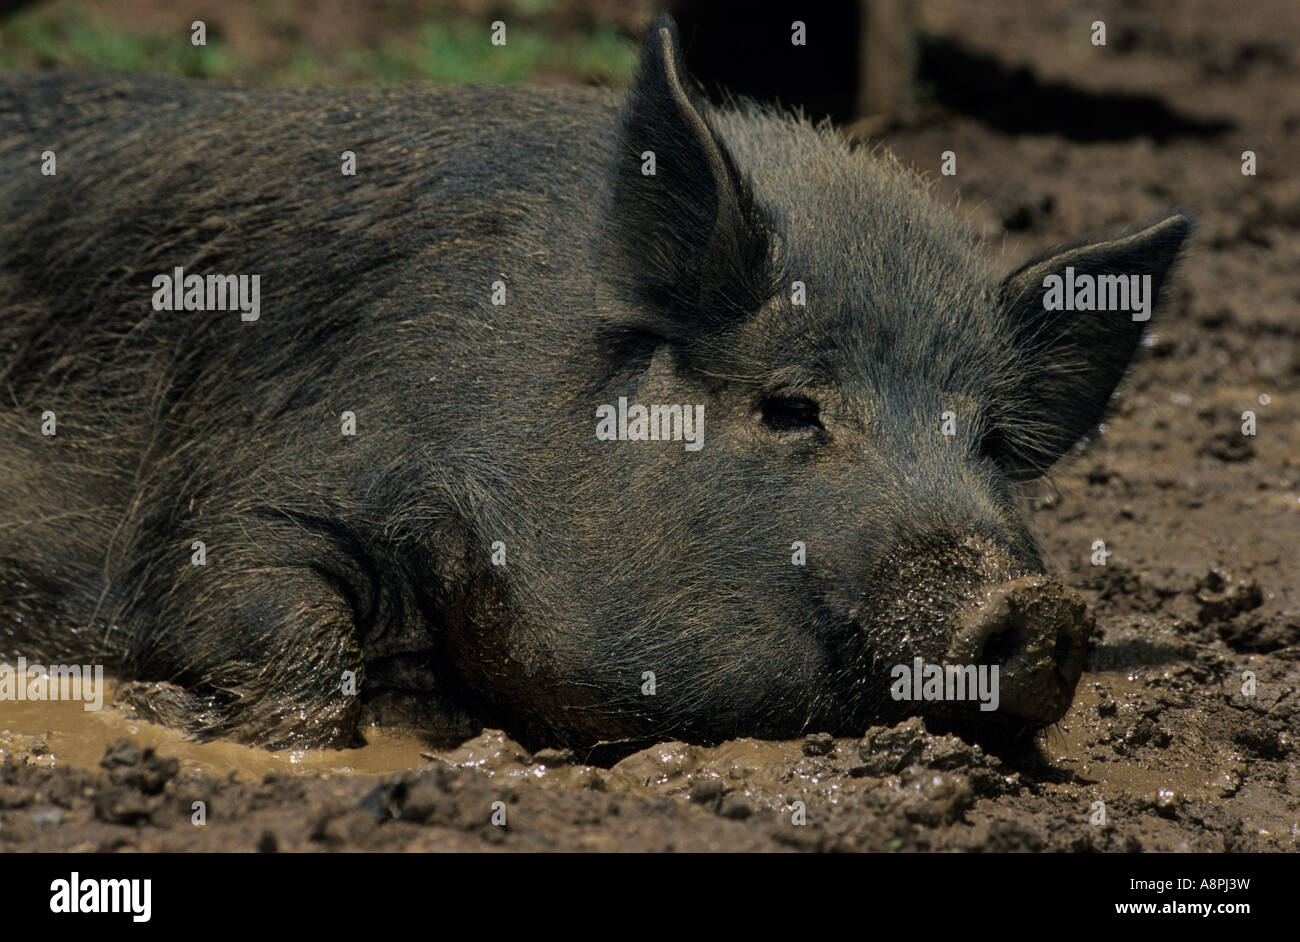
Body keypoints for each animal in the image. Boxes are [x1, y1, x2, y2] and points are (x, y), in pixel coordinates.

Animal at [0, 17, 1191, 750]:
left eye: (986, 443)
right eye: (790, 407)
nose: (1037, 603)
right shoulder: (238, 475)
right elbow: (268, 610)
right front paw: (184, 726)